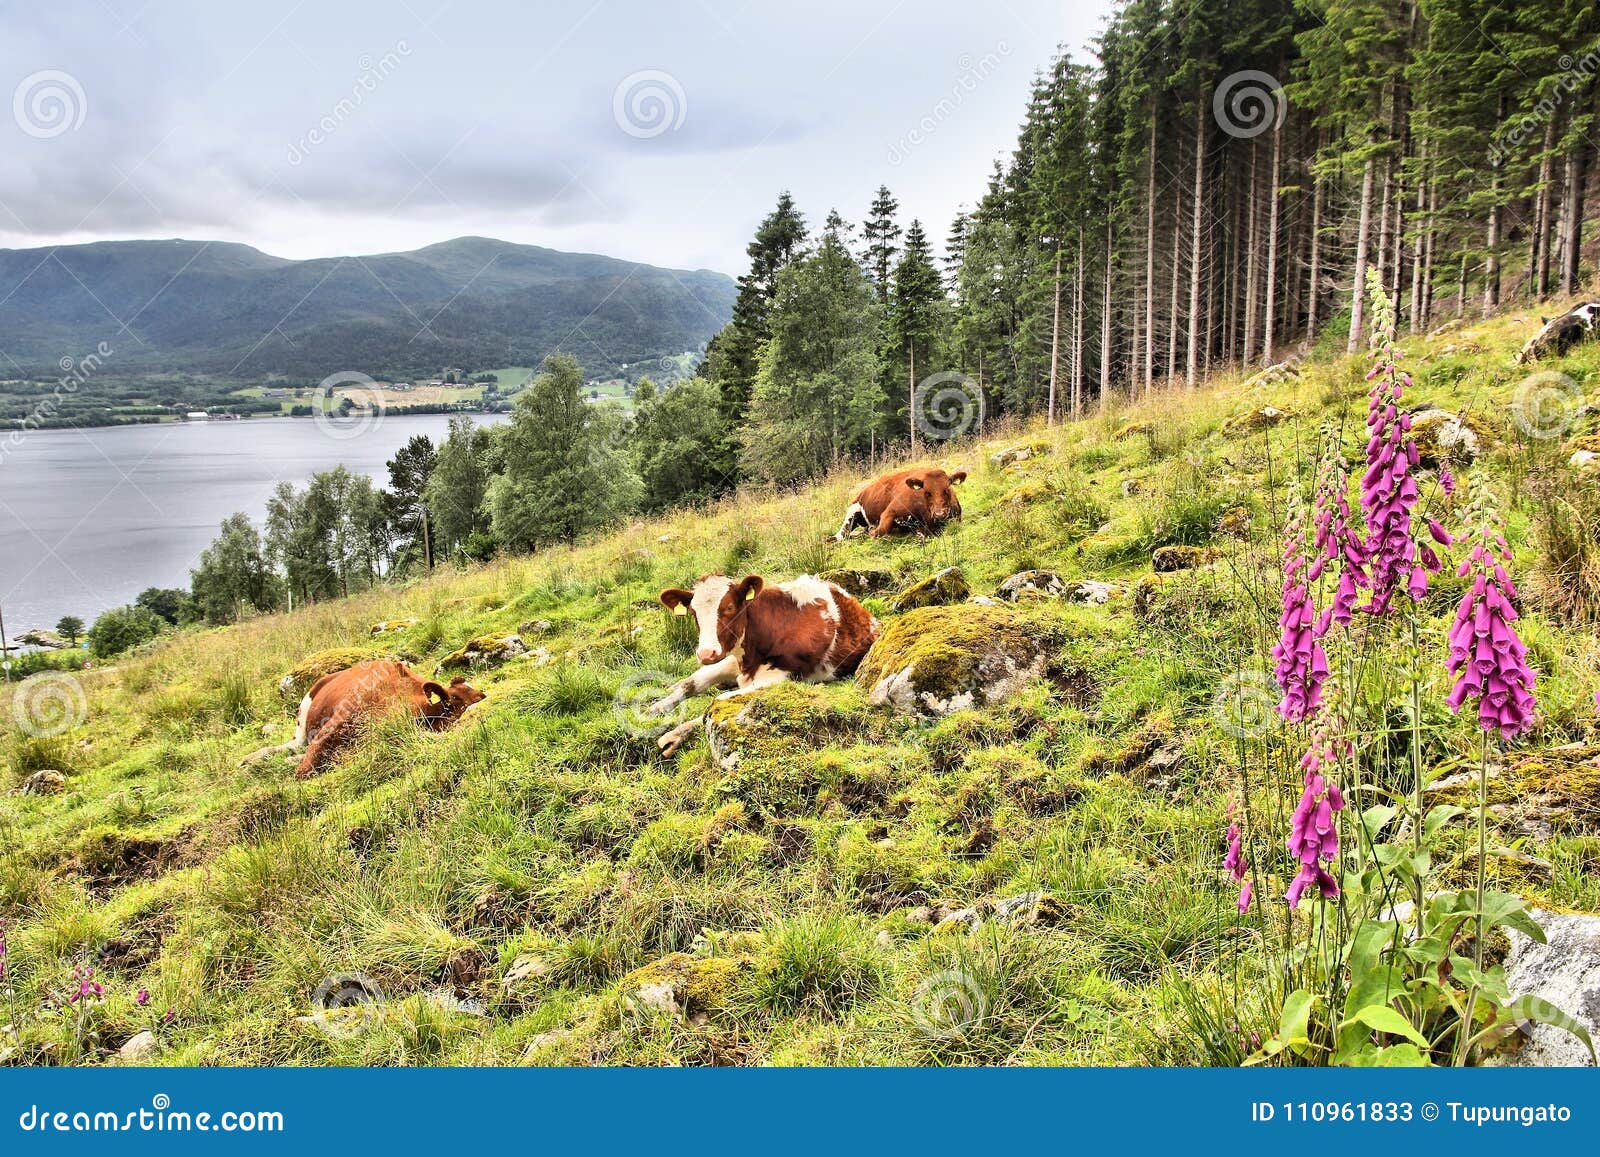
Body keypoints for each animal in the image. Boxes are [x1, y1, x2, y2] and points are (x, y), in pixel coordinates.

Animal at [241, 660, 486, 778]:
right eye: (455, 700)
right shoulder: (333, 724)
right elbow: (304, 770)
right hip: (305, 711)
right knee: (294, 745)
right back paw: (251, 760)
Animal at [644, 574, 880, 755]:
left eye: (729, 607)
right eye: (694, 613)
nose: (706, 653)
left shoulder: (783, 677)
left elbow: (714, 705)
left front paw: (676, 734)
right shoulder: (731, 659)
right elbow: (692, 685)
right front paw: (652, 711)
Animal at [834, 466, 966, 540]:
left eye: (947, 489)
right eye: (927, 492)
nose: (940, 514)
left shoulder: (956, 517)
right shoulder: (889, 512)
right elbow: (880, 531)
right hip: (852, 513)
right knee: (842, 534)